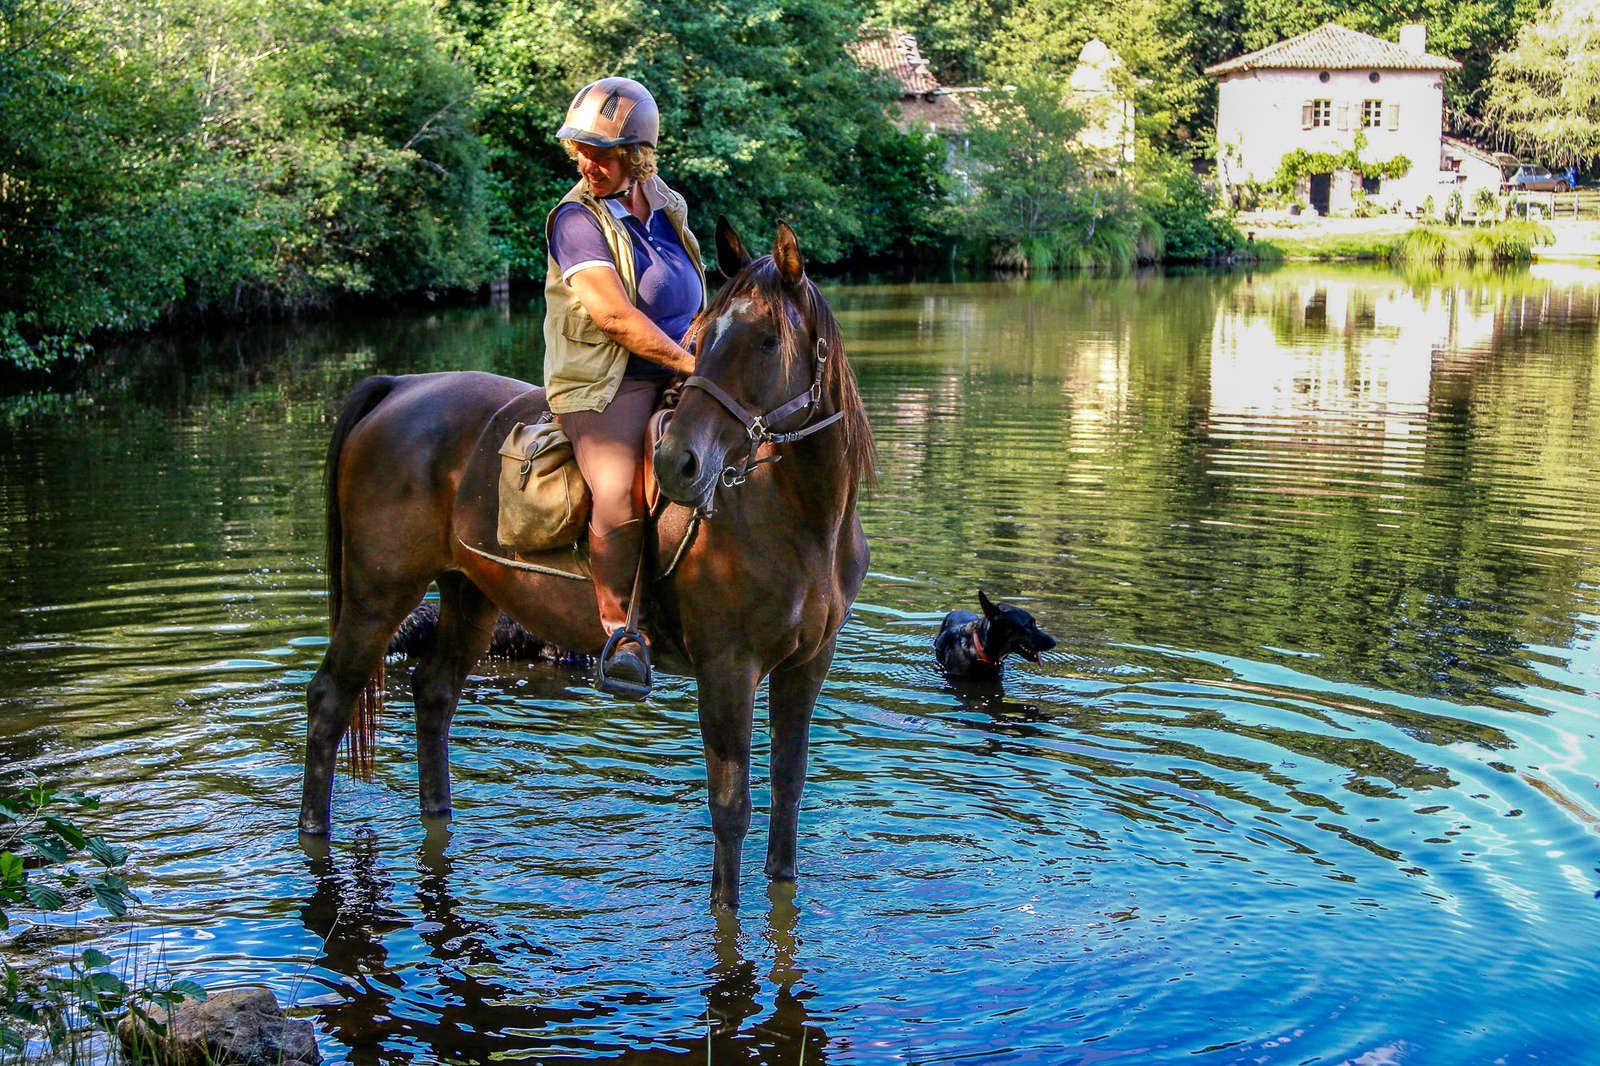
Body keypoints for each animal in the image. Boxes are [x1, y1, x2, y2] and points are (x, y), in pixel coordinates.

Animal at [298, 218, 874, 909]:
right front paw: (724, 915)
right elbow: (731, 808)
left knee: (433, 694)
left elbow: (788, 789)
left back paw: (438, 815)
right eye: (704, 338)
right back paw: (312, 833)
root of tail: (399, 388)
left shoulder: (808, 664)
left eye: (766, 340)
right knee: (329, 701)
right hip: (376, 597)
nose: (680, 461)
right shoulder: (727, 669)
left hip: (469, 593)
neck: (801, 520)